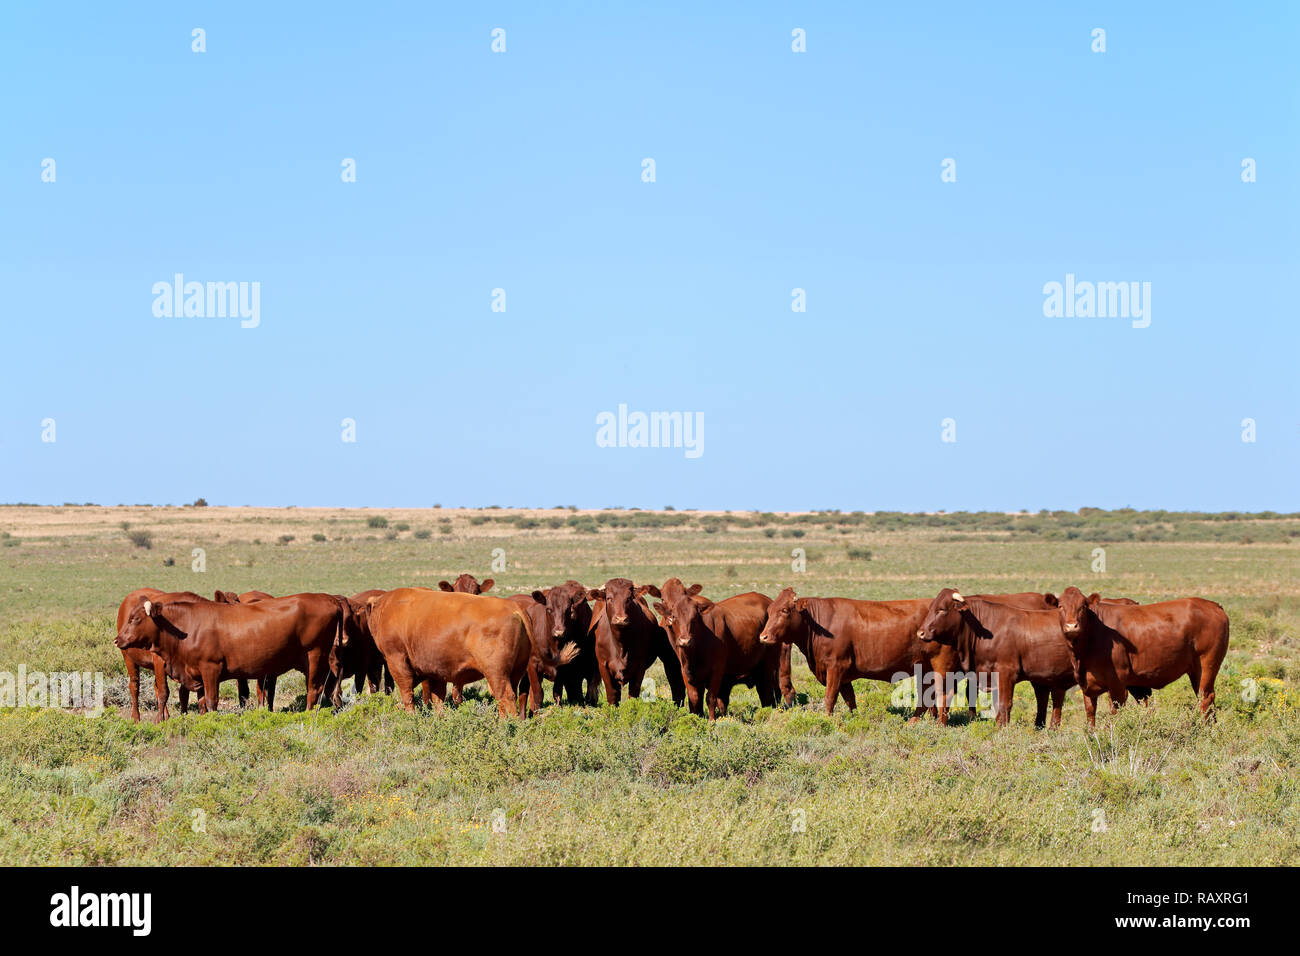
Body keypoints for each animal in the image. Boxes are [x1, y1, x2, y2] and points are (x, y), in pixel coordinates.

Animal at [115, 592, 347, 713]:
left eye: (136, 619)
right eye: (130, 616)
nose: (118, 639)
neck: (188, 626)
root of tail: (330, 599)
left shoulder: (211, 669)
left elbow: (211, 701)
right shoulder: (196, 674)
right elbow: (201, 703)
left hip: (315, 656)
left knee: (314, 690)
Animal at [365, 588, 559, 716]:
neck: (386, 608)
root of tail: (515, 608)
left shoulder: (396, 660)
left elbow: (407, 694)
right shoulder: (436, 671)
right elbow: (438, 698)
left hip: (496, 674)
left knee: (506, 697)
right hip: (515, 673)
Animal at [654, 580, 778, 720]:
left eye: (695, 617)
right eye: (674, 616)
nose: (685, 640)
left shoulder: (717, 670)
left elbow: (711, 698)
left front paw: (711, 720)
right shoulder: (686, 671)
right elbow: (694, 698)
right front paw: (696, 718)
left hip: (769, 666)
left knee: (767, 694)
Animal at [759, 586, 960, 720]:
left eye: (785, 610)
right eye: (769, 610)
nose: (763, 636)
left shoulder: (836, 666)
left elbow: (830, 697)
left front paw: (827, 720)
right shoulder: (843, 675)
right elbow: (850, 700)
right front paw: (853, 719)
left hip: (942, 665)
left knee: (943, 694)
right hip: (925, 668)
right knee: (928, 695)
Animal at [1054, 587, 1229, 726]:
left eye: (1083, 606)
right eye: (1060, 606)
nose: (1072, 626)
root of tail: (1213, 605)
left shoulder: (1118, 684)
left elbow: (1116, 713)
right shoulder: (1087, 686)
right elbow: (1090, 715)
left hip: (1207, 664)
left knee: (1205, 697)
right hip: (1195, 671)